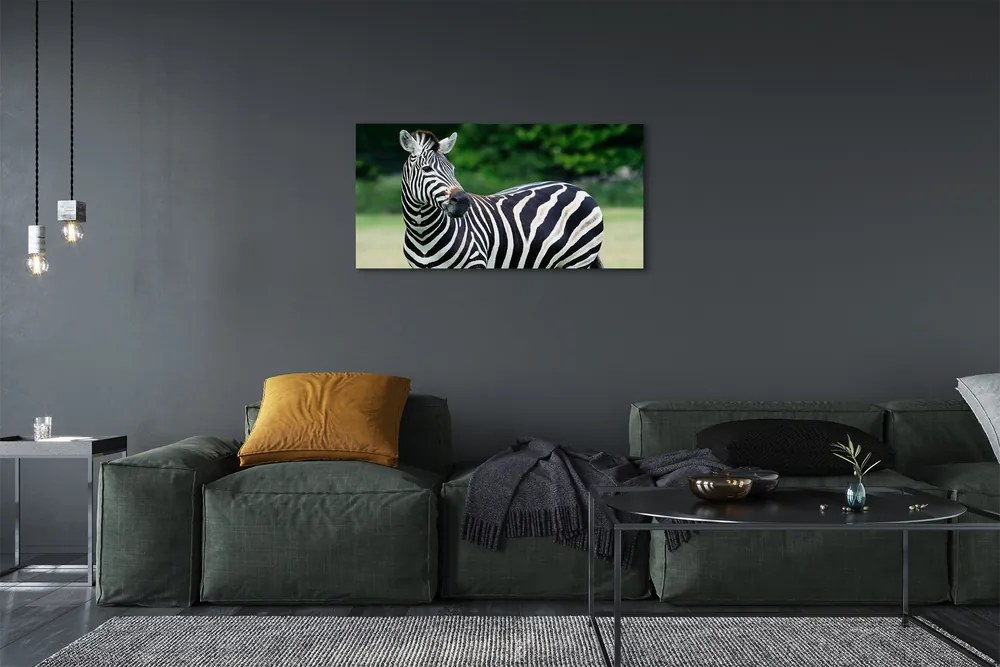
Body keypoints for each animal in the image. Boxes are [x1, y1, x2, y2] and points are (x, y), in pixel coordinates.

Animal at [398, 129, 604, 269]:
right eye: (427, 169)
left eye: (453, 169)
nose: (464, 202)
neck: (422, 233)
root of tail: (576, 187)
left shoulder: (475, 263)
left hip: (579, 260)